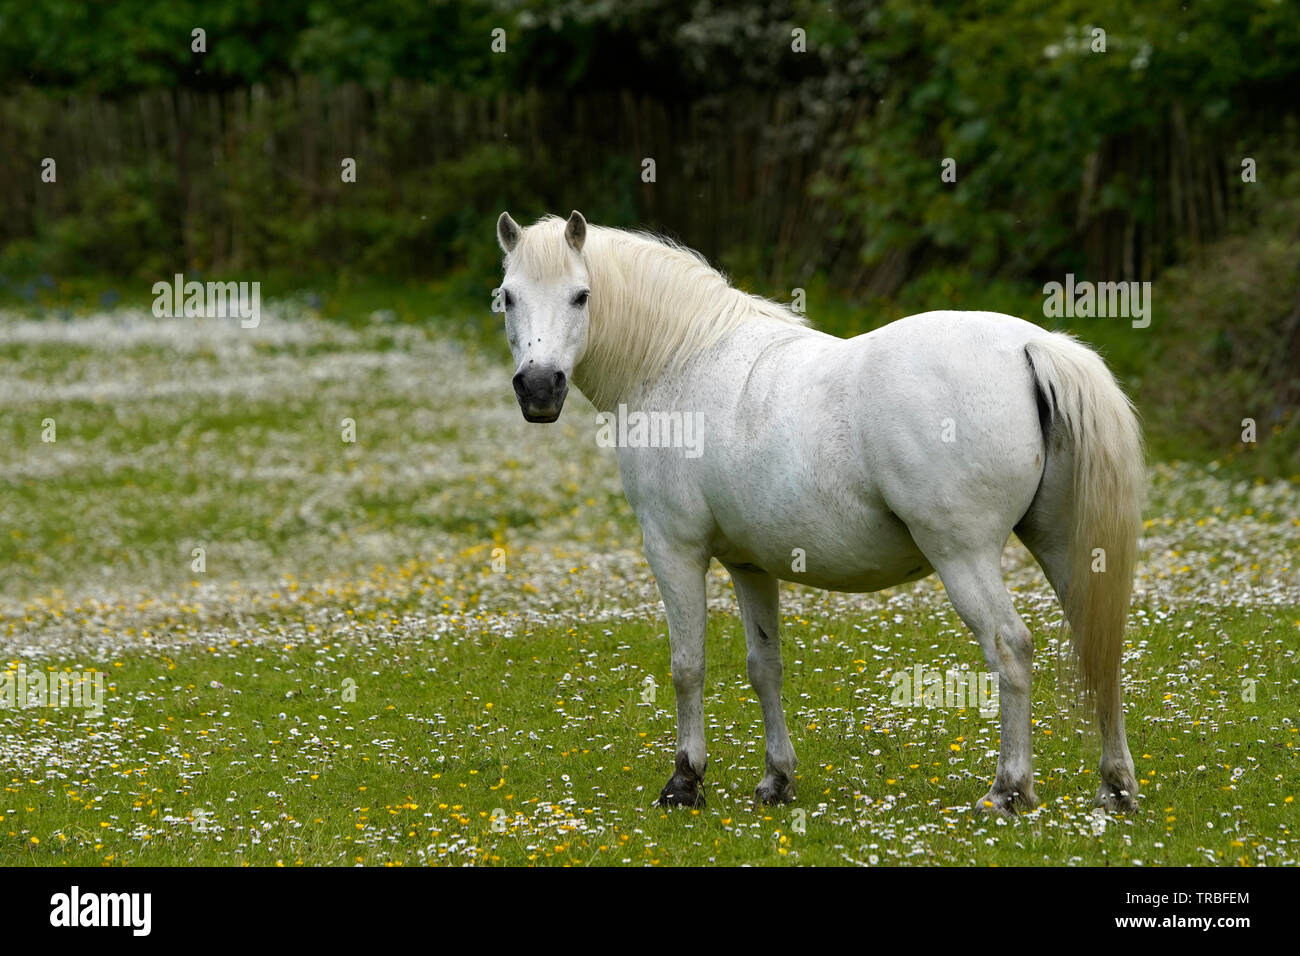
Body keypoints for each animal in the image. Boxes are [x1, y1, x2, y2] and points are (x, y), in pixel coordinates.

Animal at [494, 209, 1144, 815]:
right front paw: (776, 781)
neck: (678, 364)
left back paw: (1008, 790)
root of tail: (1031, 348)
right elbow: (765, 666)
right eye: (509, 296)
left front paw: (685, 781)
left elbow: (688, 664)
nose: (540, 389)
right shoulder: (749, 566)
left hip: (963, 555)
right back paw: (1115, 787)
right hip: (1062, 549)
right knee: (1098, 646)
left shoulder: (674, 550)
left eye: (581, 295)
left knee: (1010, 647)